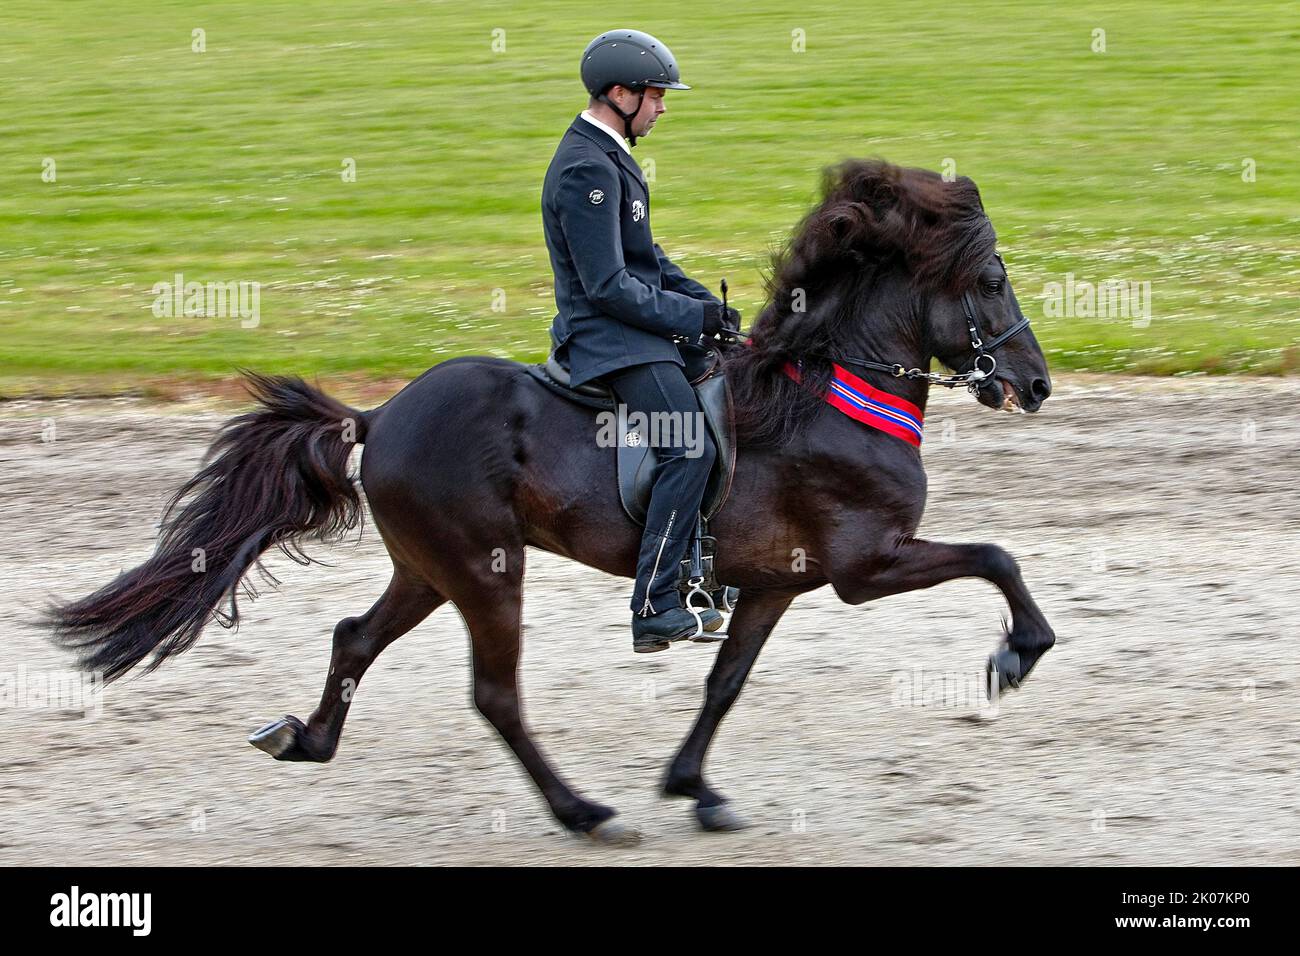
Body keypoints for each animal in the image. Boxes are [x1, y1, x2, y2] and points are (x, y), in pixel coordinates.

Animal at [49, 159, 1056, 846]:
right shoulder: (866, 563)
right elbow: (997, 556)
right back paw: (583, 812)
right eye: (992, 281)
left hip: (430, 569)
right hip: (486, 570)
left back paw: (306, 740)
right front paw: (1016, 656)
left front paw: (694, 787)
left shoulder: (778, 583)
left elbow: (726, 683)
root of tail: (382, 415)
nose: (1037, 384)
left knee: (354, 638)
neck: (830, 392)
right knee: (495, 693)